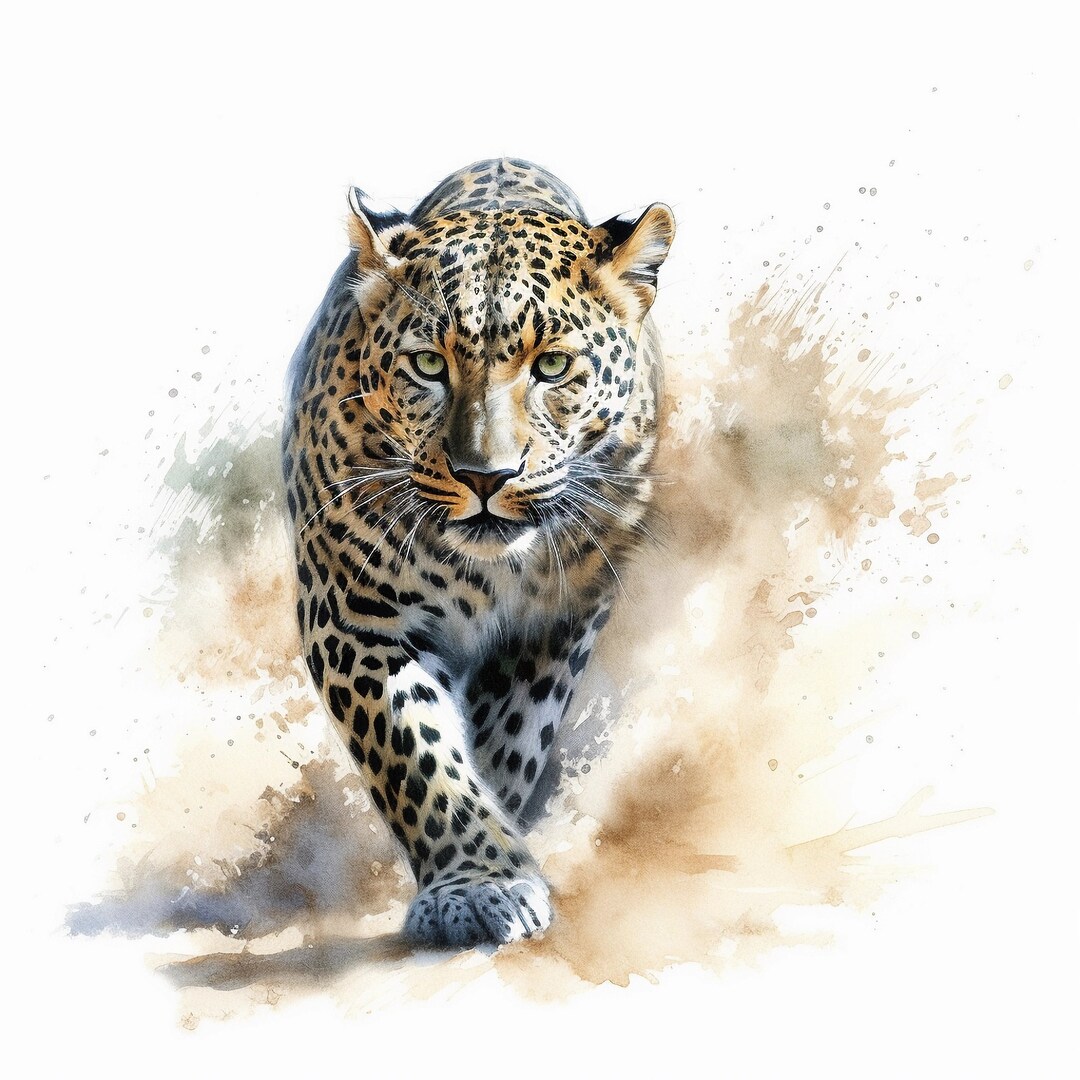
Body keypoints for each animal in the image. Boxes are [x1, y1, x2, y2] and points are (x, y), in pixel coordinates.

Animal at [282, 158, 674, 947]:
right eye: (428, 364)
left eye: (552, 366)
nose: (485, 476)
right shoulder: (352, 615)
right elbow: (415, 750)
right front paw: (479, 883)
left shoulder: (559, 619)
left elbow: (512, 736)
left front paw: (498, 847)